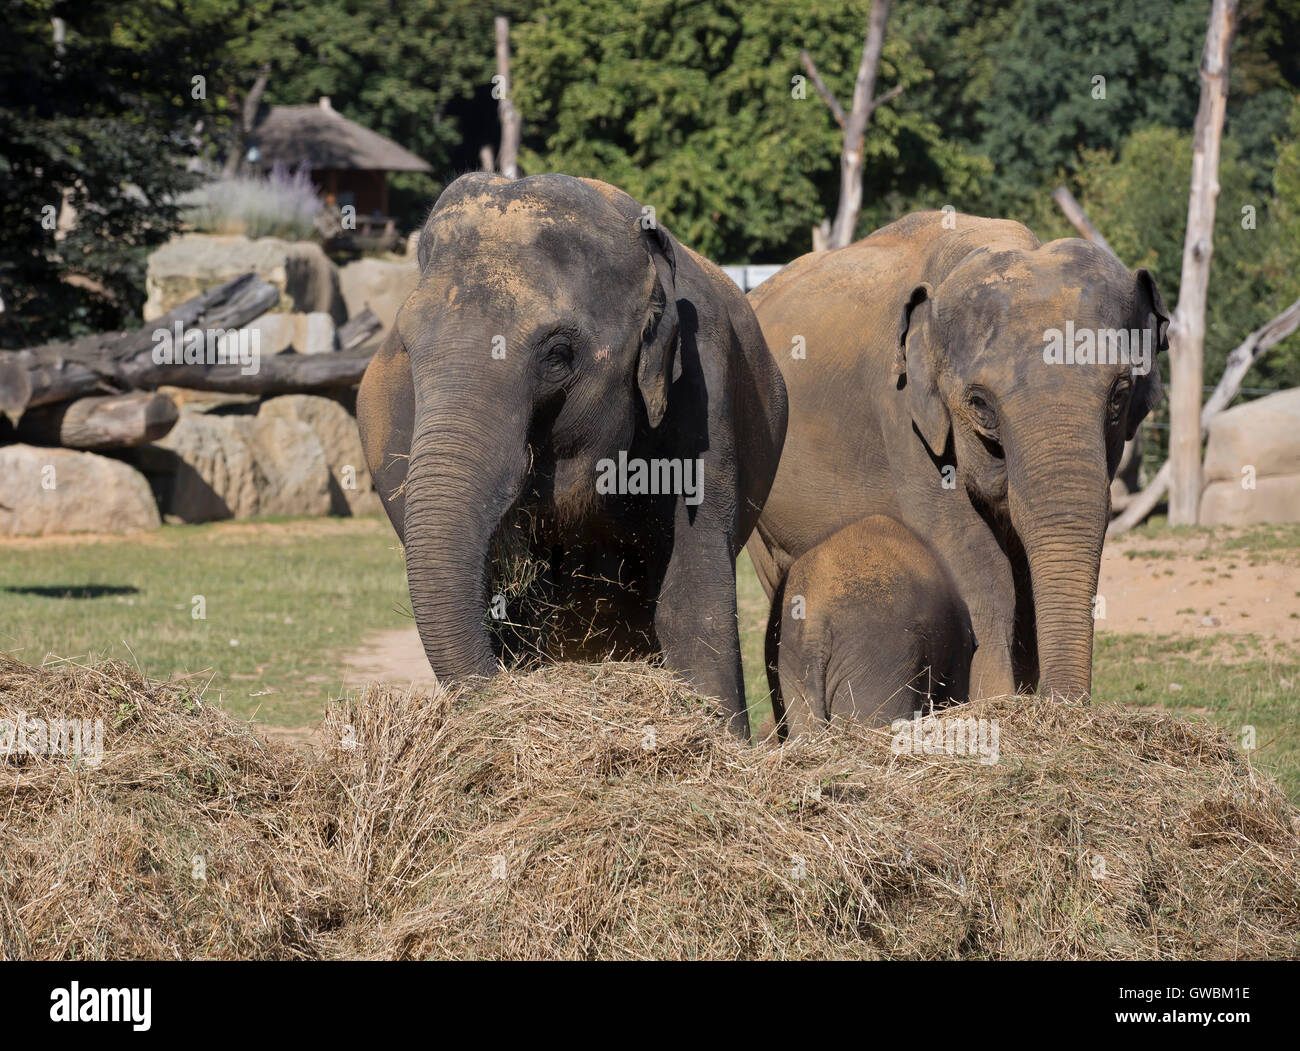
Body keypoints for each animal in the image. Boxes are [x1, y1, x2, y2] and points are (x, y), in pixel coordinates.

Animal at [747, 210, 1167, 703]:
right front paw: (996, 704)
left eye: (1120, 393)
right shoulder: (903, 419)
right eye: (980, 403)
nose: (1061, 703)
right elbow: (976, 566)